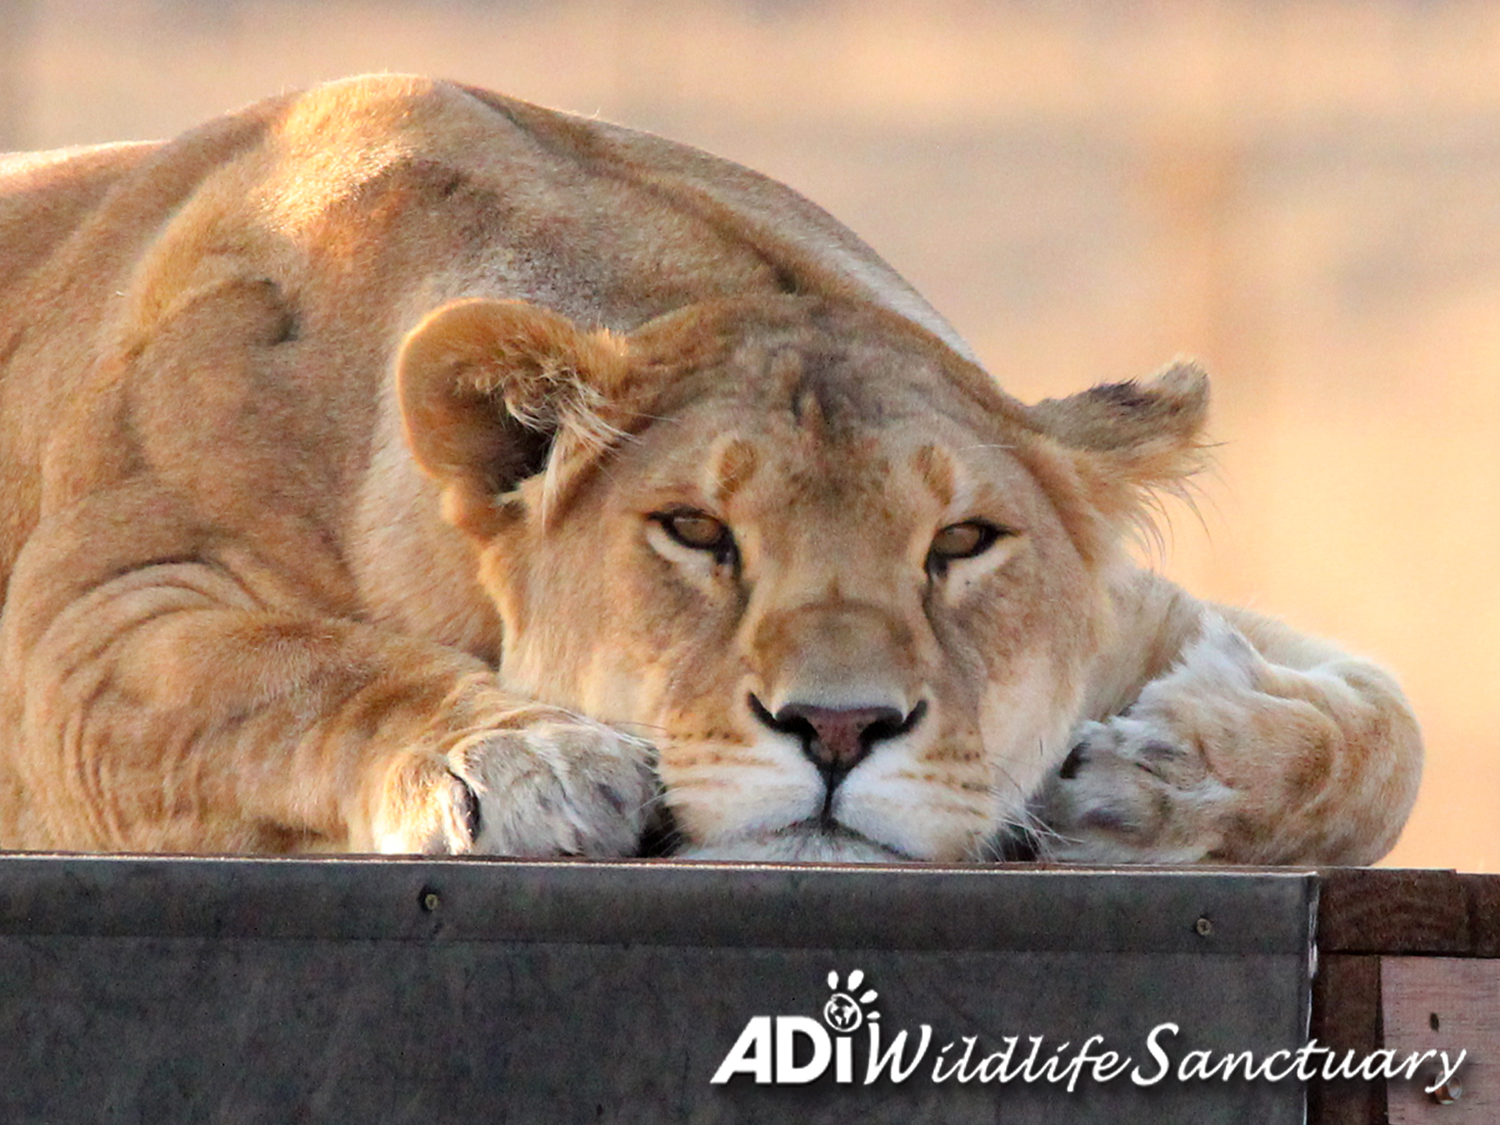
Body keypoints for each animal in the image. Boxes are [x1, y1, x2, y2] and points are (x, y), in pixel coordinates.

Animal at [0, 75, 1420, 864]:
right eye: (696, 533)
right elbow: (295, 670)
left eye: (960, 545)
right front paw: (522, 762)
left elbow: (1388, 732)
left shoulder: (1137, 609)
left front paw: (1165, 772)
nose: (840, 728)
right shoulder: (80, 635)